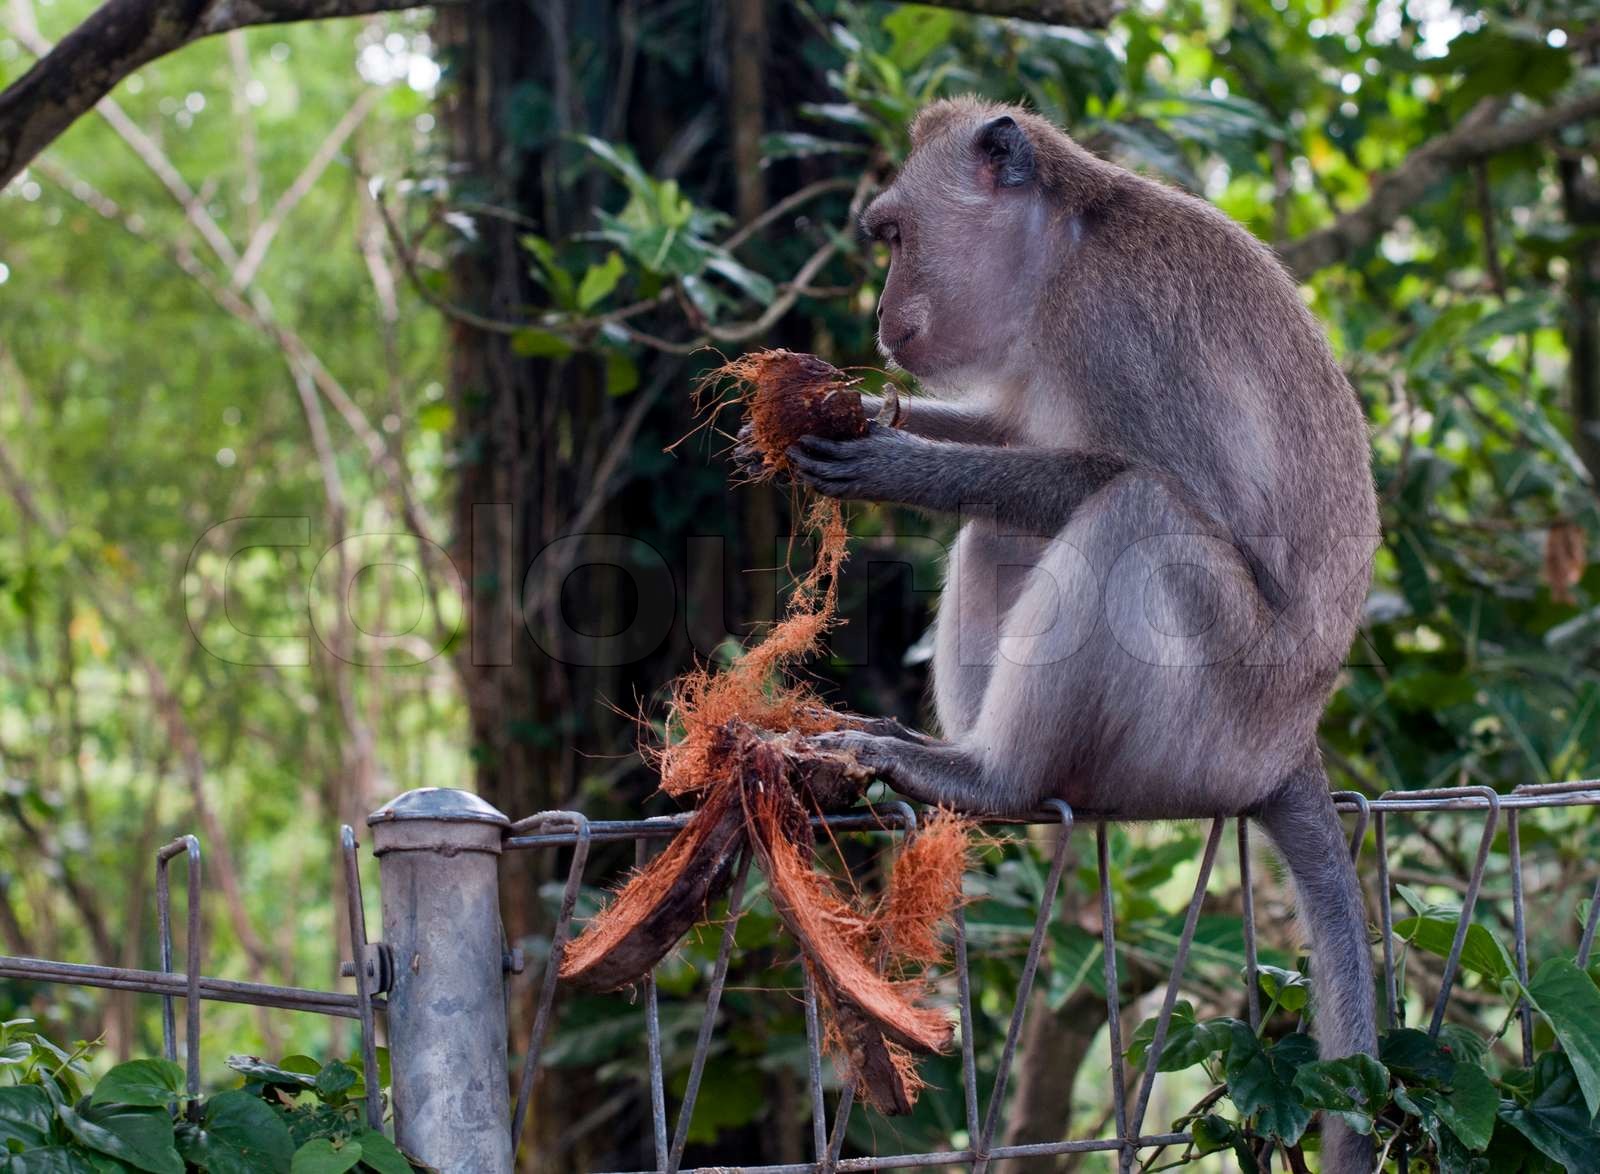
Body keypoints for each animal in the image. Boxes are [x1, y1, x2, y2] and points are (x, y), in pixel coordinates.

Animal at [740, 98, 1380, 1170]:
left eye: (895, 236)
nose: (878, 321)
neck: (1062, 249)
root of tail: (1291, 746)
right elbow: (1010, 439)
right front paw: (856, 410)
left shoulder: (1116, 328)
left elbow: (1142, 481)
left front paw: (896, 462)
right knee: (1005, 530)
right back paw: (950, 752)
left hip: (1203, 731)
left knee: (1134, 513)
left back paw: (990, 776)